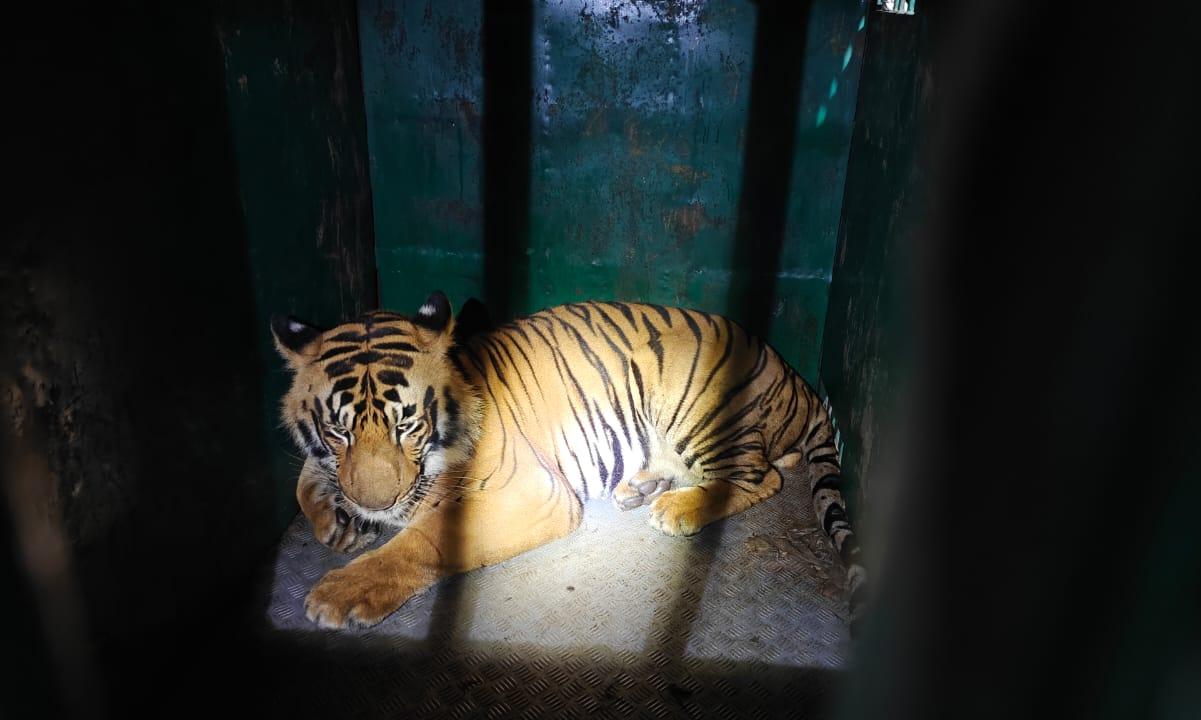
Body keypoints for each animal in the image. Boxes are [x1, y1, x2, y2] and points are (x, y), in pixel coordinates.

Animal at [272, 291, 867, 630]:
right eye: (338, 430)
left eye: (406, 425)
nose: (377, 506)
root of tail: (793, 375)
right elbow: (303, 478)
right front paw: (337, 523)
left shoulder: (532, 493)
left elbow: (423, 540)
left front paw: (343, 593)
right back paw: (640, 487)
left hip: (692, 403)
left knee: (762, 476)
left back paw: (676, 509)